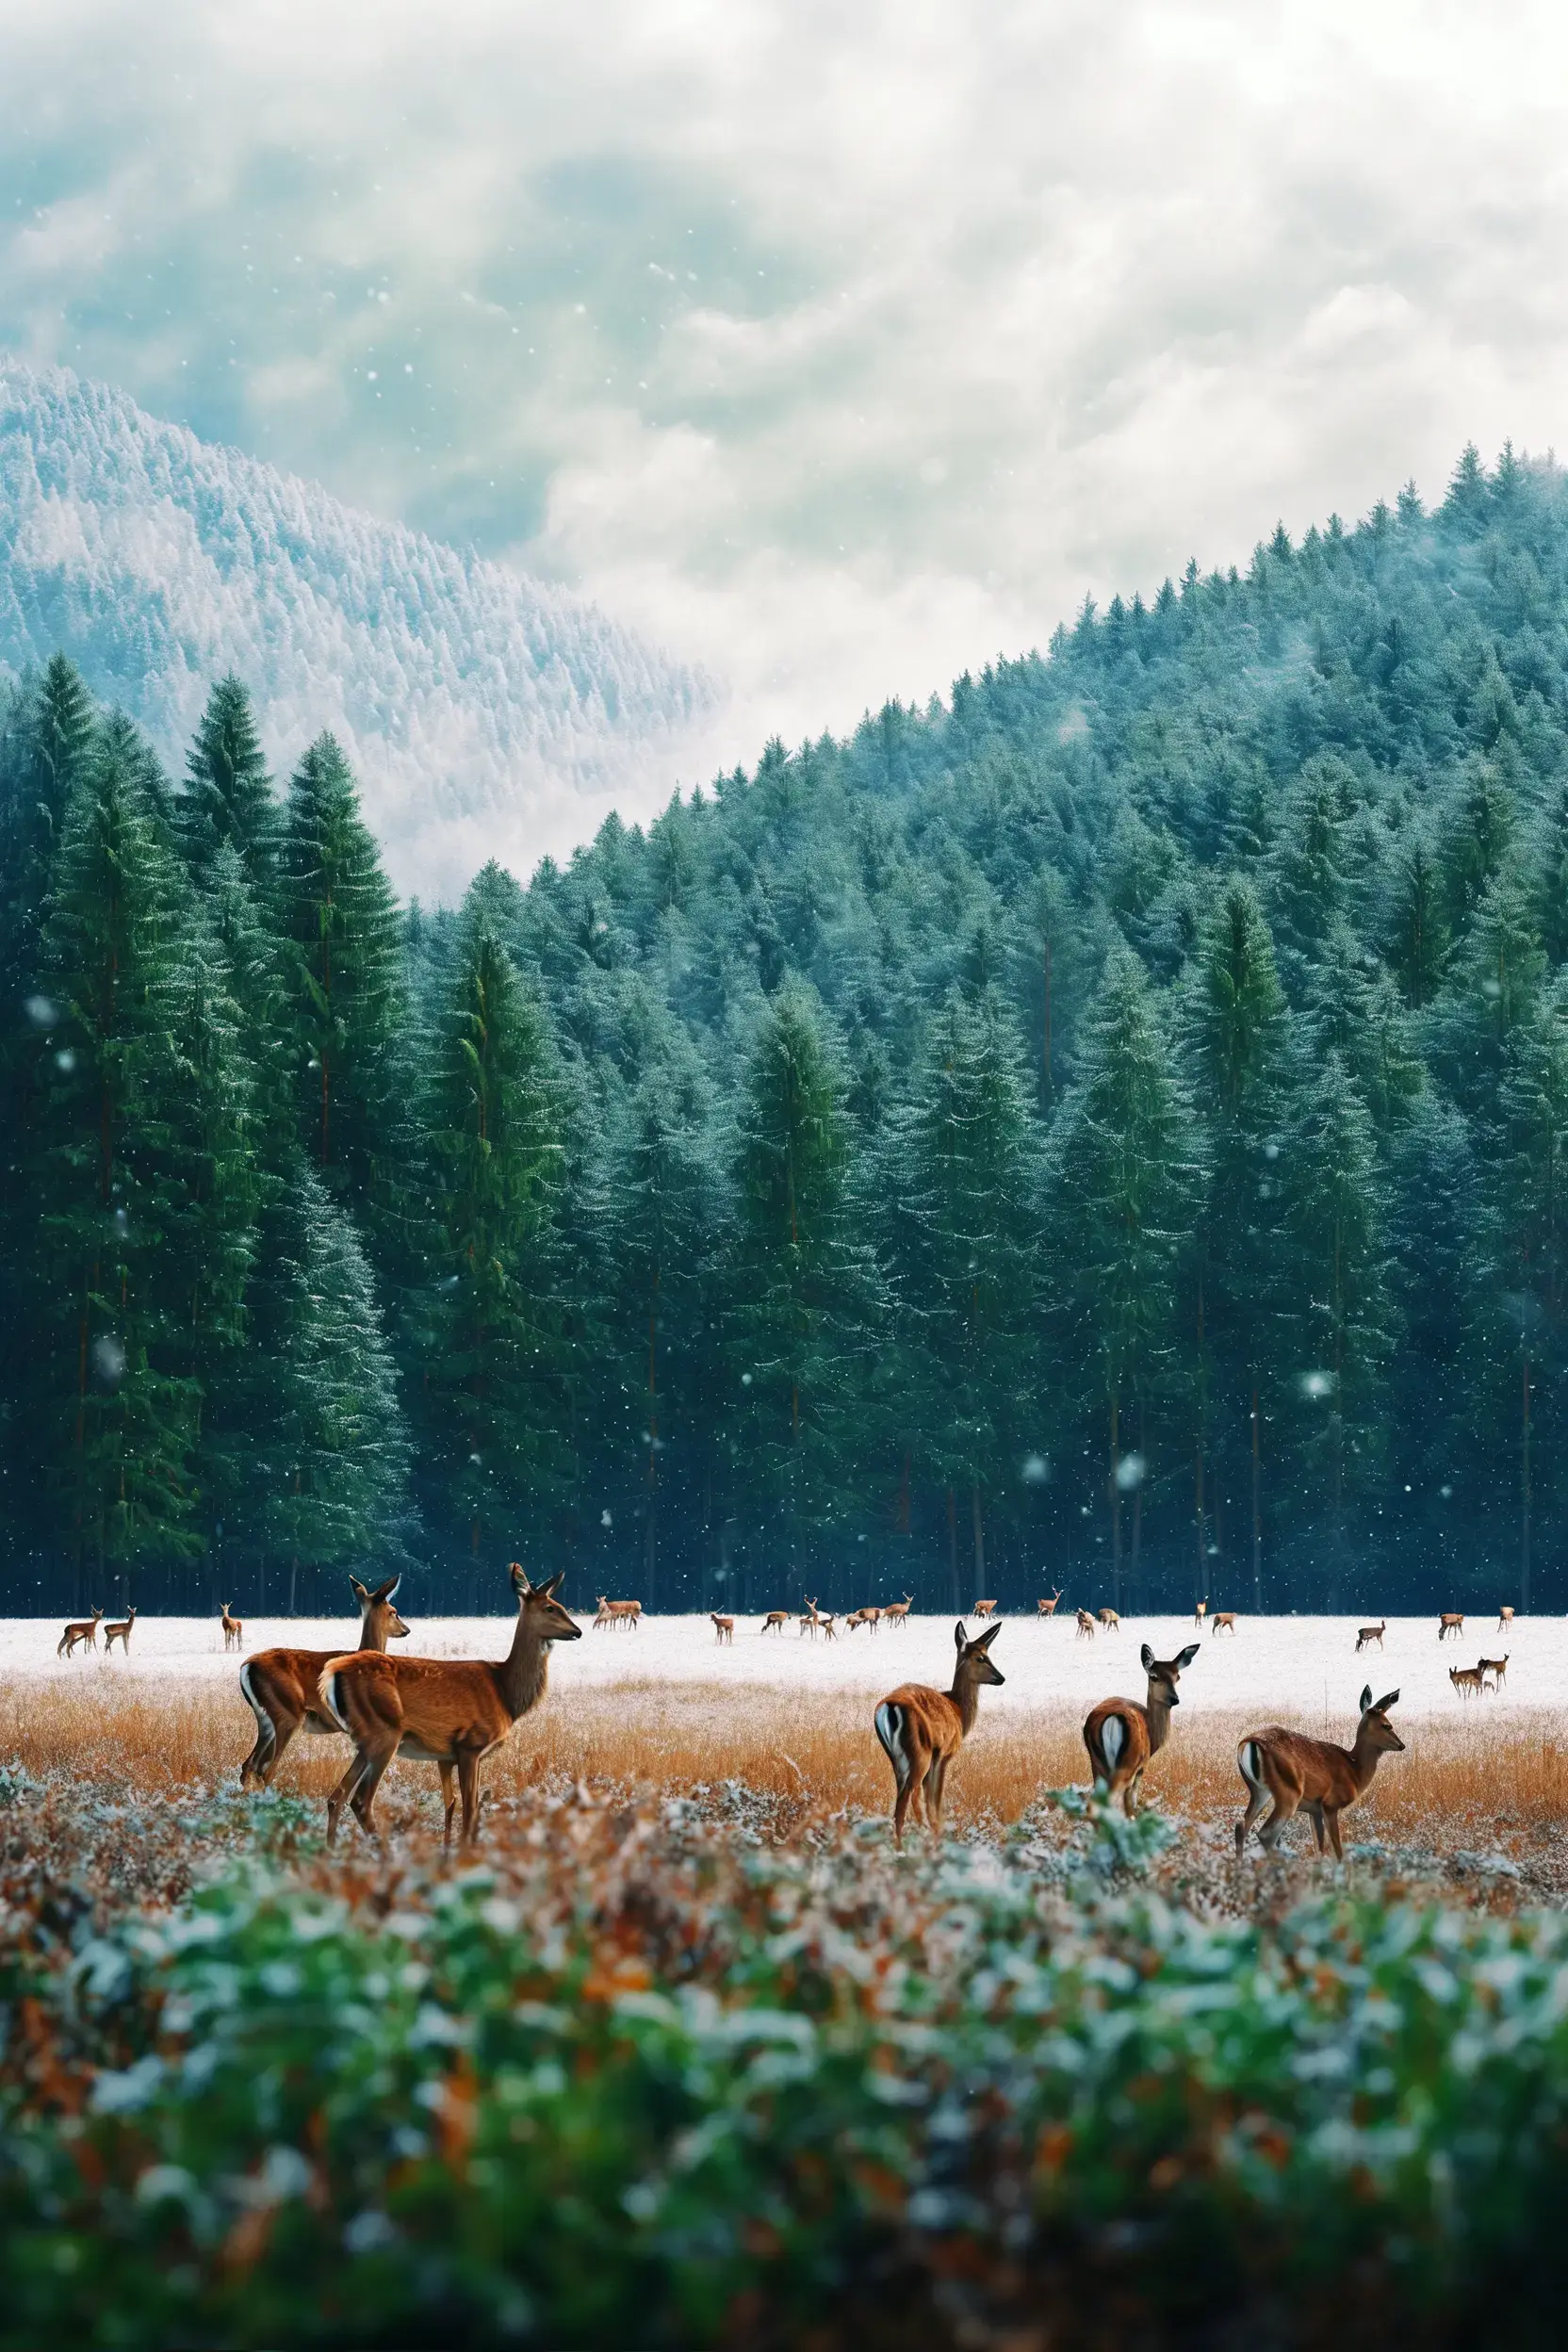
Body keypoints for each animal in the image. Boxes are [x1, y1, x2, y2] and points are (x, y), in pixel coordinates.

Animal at [237, 1580, 411, 1796]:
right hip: (288, 1712)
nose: (406, 1630)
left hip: (265, 1718)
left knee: (249, 1765)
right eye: (393, 1611)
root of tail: (247, 1666)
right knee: (267, 1770)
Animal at [321, 1571, 585, 1843]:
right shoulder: (470, 1744)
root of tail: (333, 1669)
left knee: (337, 1797)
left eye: (561, 1605)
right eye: (549, 1608)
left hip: (365, 1740)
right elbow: (469, 1811)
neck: (505, 1692)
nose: (577, 1631)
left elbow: (463, 1806)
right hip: (384, 1733)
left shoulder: (456, 1756)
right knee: (361, 1801)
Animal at [870, 1627, 1005, 1843]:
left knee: (902, 1799)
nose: (1001, 1678)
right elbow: (936, 1799)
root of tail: (889, 1706)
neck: (958, 1709)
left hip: (897, 1759)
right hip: (920, 1754)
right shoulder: (944, 1754)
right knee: (909, 1798)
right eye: (981, 1658)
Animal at [1081, 1637, 1203, 1815]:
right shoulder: (1142, 1767)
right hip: (1128, 1764)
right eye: (1154, 1676)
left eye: (1177, 1676)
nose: (1175, 1699)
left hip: (1098, 1764)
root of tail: (1113, 1719)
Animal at [1241, 1684, 1410, 1862]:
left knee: (1242, 1827)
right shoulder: (1330, 1806)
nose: (1401, 1745)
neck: (1354, 1768)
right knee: (1266, 1834)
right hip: (1288, 1797)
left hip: (1259, 1792)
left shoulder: (1314, 1812)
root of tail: (1250, 1742)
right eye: (1386, 1725)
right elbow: (1337, 1849)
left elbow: (1319, 1849)